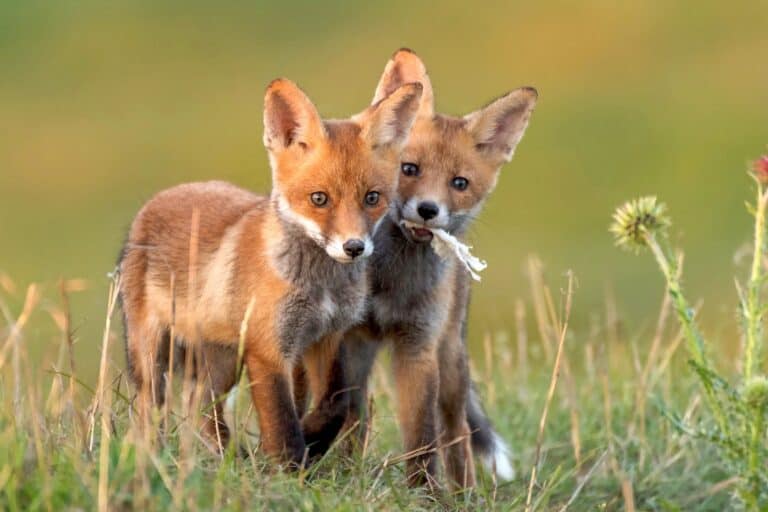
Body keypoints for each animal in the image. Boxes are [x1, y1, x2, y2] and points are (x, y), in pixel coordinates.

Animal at [117, 77, 423, 465]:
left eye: (372, 198)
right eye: (319, 199)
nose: (354, 247)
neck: (320, 288)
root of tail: (155, 201)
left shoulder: (325, 338)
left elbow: (335, 404)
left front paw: (313, 440)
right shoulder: (268, 349)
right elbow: (281, 423)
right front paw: (289, 467)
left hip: (225, 360)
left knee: (200, 408)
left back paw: (228, 458)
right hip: (151, 355)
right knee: (152, 412)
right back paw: (154, 460)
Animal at [299, 49, 537, 487]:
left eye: (459, 183)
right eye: (408, 169)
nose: (428, 209)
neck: (390, 281)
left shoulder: (417, 345)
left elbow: (422, 438)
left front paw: (423, 493)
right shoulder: (348, 337)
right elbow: (345, 411)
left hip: (451, 360)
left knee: (456, 432)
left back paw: (463, 494)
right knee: (358, 420)